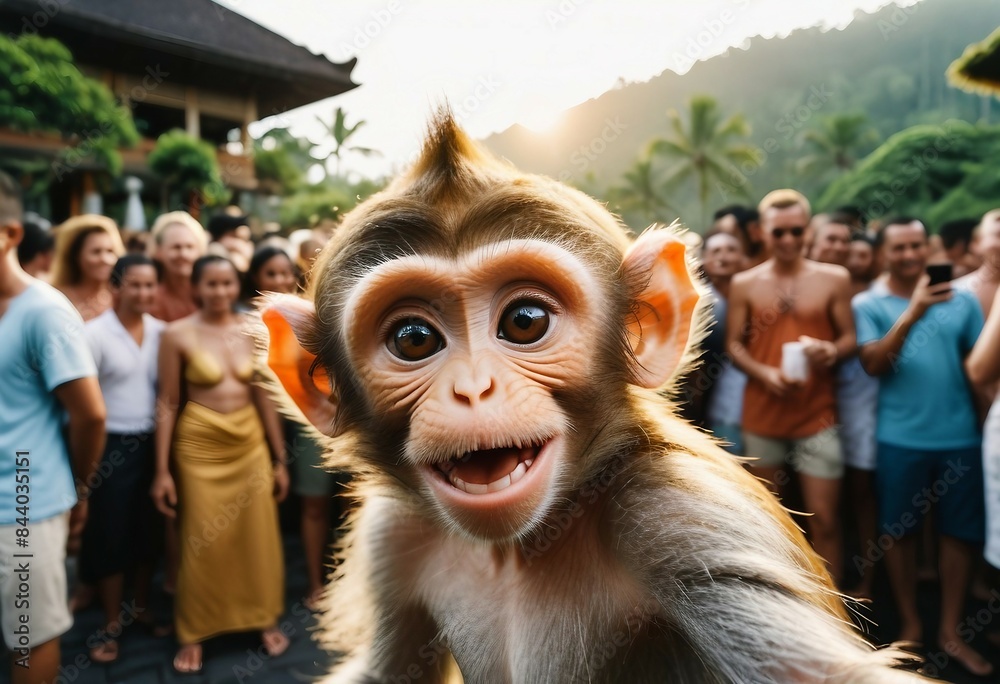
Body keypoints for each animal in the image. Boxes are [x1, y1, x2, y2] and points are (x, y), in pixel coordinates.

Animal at [260, 111, 926, 683]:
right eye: (413, 338)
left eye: (525, 321)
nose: (474, 388)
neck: (522, 544)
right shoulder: (392, 534)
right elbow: (388, 670)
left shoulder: (686, 517)